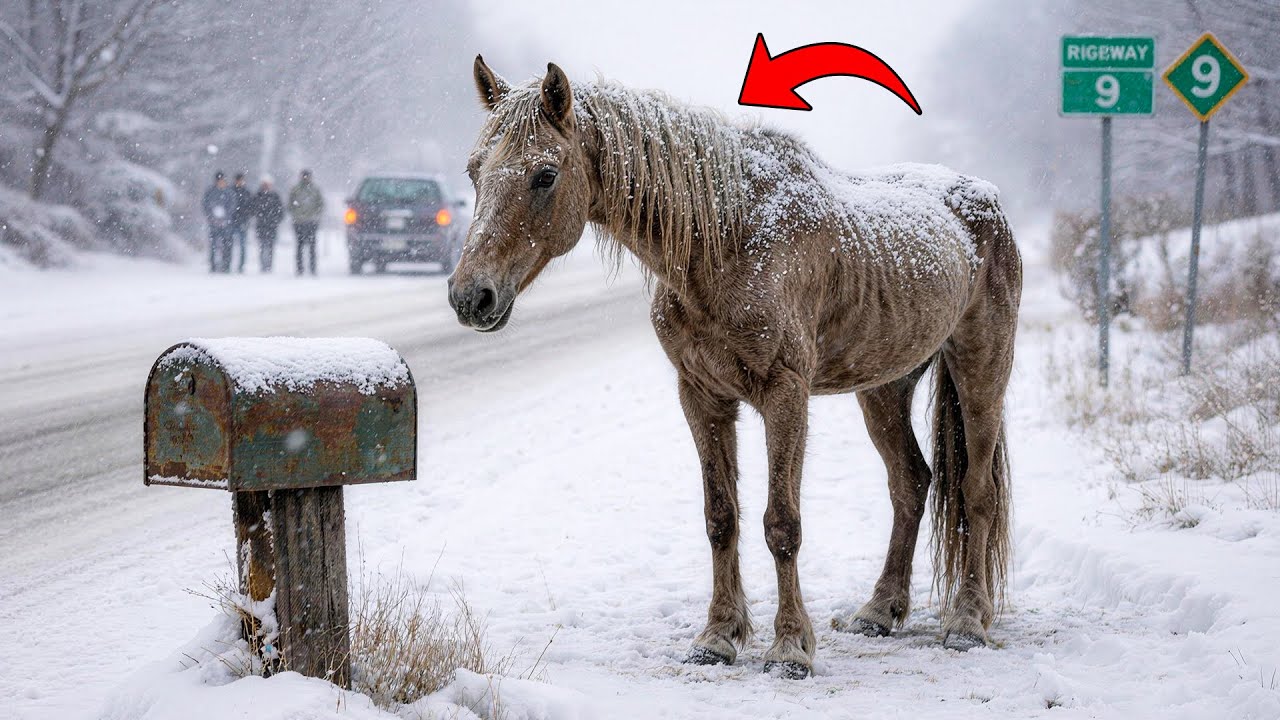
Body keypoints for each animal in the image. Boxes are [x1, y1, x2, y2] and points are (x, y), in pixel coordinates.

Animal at [448, 57, 1022, 679]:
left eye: (546, 175)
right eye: (474, 172)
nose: (470, 296)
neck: (728, 240)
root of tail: (986, 201)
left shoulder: (785, 395)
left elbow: (782, 524)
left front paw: (790, 648)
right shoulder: (701, 396)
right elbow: (720, 517)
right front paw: (718, 637)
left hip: (981, 368)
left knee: (977, 490)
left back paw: (967, 620)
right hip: (884, 387)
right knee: (911, 484)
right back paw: (879, 610)